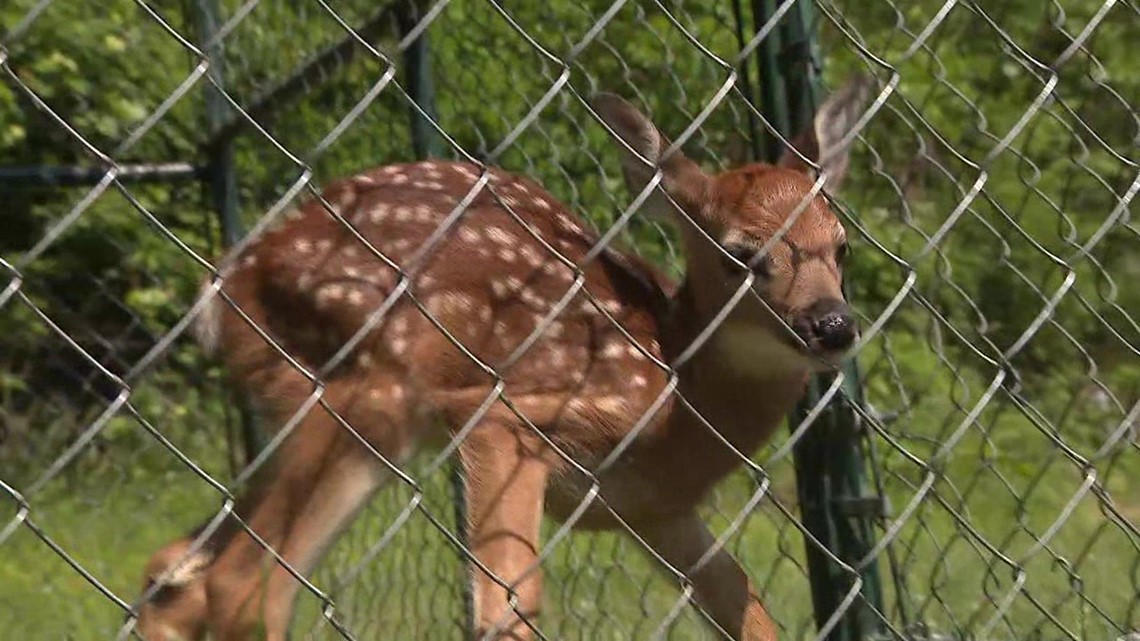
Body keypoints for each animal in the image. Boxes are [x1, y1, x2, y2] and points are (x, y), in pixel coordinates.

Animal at [132, 76, 871, 641]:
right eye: (741, 255)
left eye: (841, 245)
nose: (832, 324)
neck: (677, 394)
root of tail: (225, 286)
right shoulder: (506, 415)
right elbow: (507, 605)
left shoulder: (655, 509)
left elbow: (747, 607)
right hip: (370, 394)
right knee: (245, 586)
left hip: (292, 406)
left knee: (176, 573)